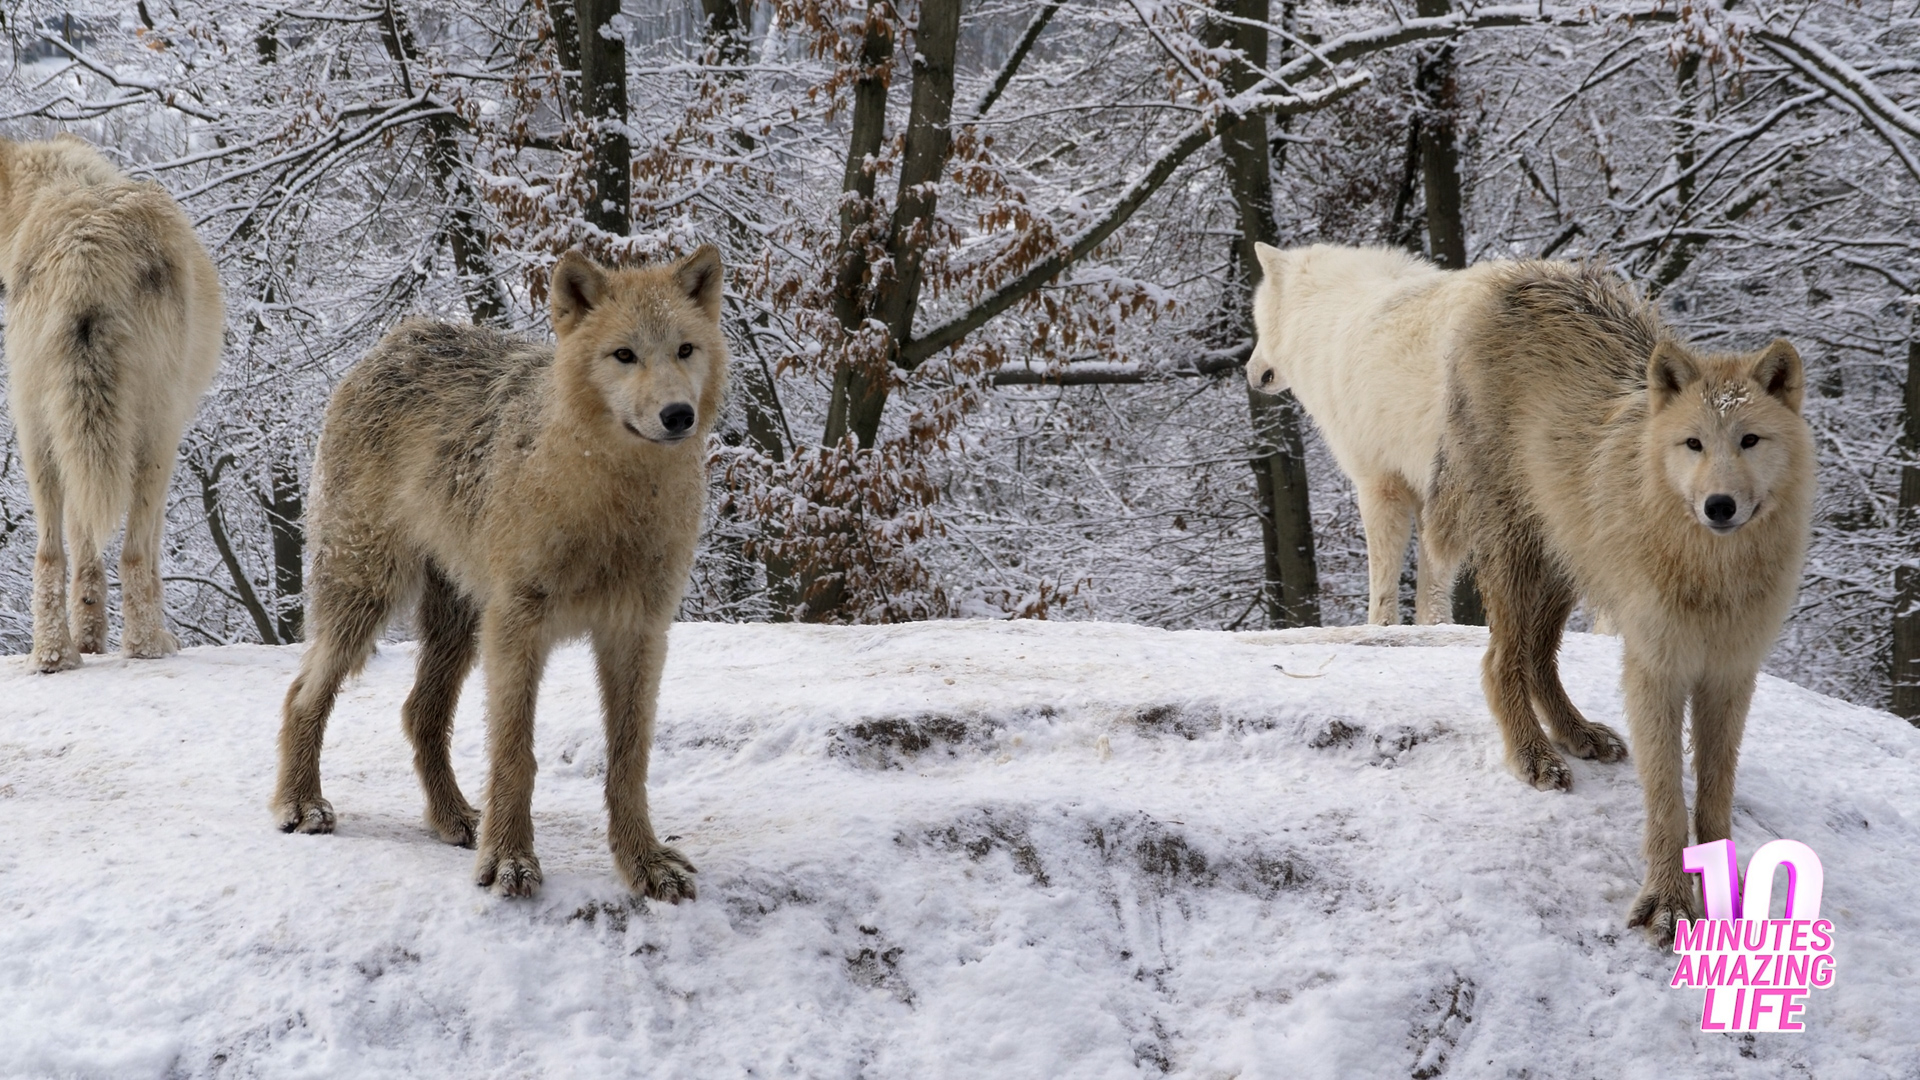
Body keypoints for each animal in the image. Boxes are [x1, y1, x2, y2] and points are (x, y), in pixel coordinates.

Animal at [0, 134, 223, 671]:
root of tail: (85, 242)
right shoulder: (172, 435)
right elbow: (144, 550)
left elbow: (84, 550)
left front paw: (88, 641)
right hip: (152, 436)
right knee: (135, 552)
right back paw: (147, 646)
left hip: (39, 436)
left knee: (48, 554)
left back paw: (55, 656)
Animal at [272, 246, 728, 902]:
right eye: (624, 355)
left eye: (685, 349)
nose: (677, 415)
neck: (612, 498)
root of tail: (397, 337)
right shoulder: (517, 624)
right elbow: (515, 754)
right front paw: (511, 861)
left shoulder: (639, 633)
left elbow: (628, 758)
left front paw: (643, 863)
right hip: (370, 595)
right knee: (303, 692)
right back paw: (300, 804)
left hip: (458, 623)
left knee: (418, 712)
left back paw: (454, 817)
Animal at [1244, 243, 1498, 625]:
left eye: (1259, 323)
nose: (1250, 372)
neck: (1326, 322)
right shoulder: (1425, 486)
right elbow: (1433, 580)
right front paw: (1434, 625)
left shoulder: (1377, 481)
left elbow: (1384, 574)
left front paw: (1383, 626)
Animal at [1426, 262, 1813, 939]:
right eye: (1693, 444)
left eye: (1750, 441)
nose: (1719, 506)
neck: (1711, 573)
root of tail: (1509, 273)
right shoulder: (1654, 669)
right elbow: (1666, 798)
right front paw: (1668, 902)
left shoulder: (1731, 675)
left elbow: (1715, 792)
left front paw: (1724, 892)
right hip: (1520, 556)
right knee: (1499, 661)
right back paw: (1534, 756)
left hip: (1565, 565)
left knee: (1539, 657)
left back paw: (1578, 734)